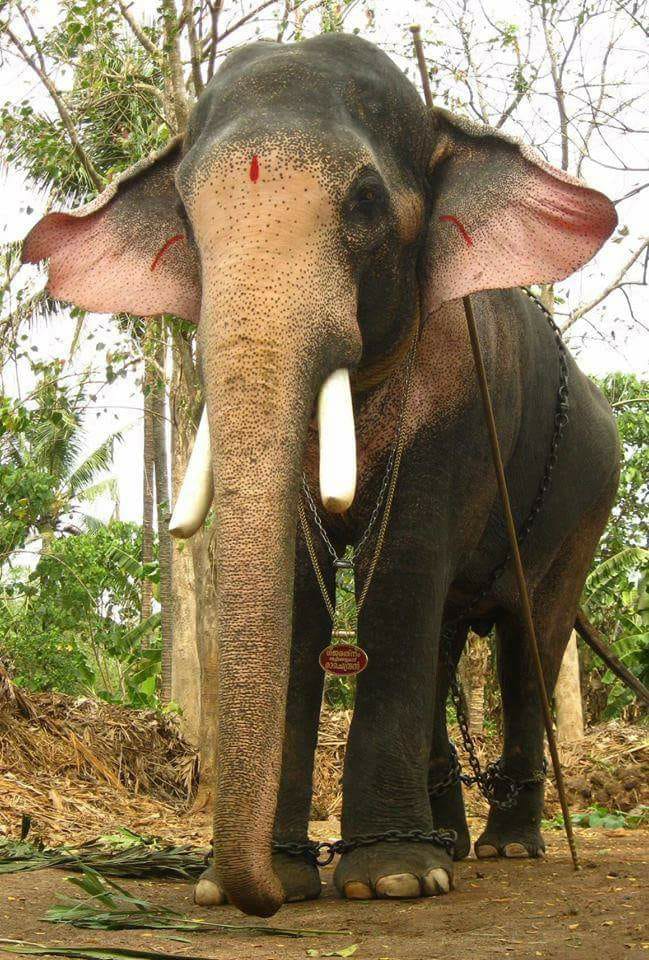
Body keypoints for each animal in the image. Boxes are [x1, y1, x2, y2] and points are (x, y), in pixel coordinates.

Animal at [23, 33, 620, 917]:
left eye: (366, 203)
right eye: (187, 218)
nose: (252, 895)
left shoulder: (453, 407)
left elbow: (398, 570)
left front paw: (392, 880)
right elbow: (306, 599)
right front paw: (285, 876)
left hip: (583, 506)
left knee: (527, 638)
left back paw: (505, 847)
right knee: (448, 636)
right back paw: (452, 845)